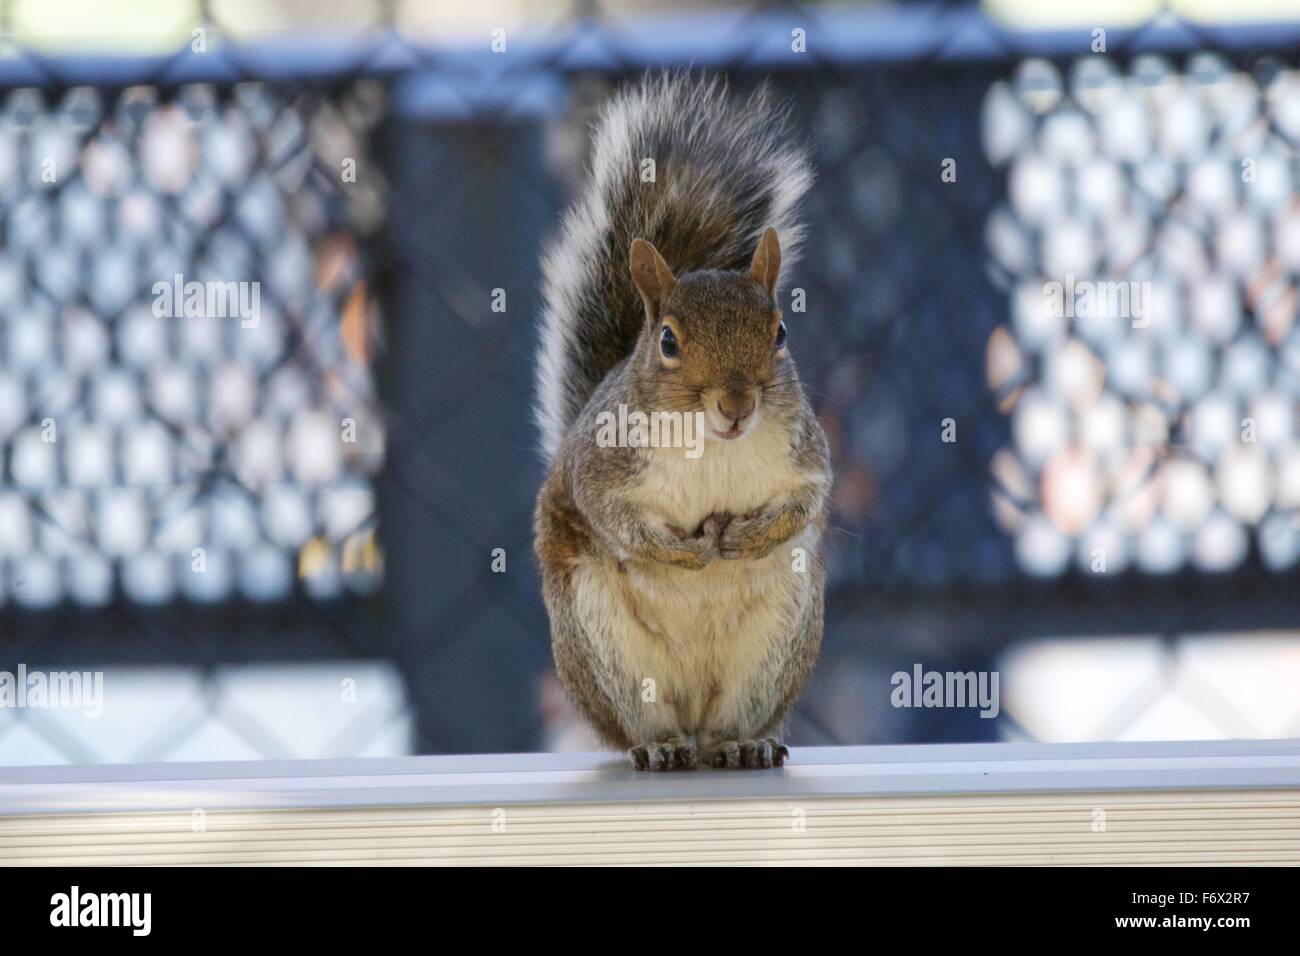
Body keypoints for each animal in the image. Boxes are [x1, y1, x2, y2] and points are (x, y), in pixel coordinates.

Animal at [533, 73, 831, 771]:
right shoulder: (600, 465)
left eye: (781, 332)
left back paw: (741, 743)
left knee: (730, 721)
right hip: (601, 644)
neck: (710, 445)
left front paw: (745, 538)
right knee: (643, 723)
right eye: (668, 341)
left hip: (776, 643)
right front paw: (684, 551)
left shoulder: (805, 455)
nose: (737, 404)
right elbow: (613, 517)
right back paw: (660, 745)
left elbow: (806, 501)